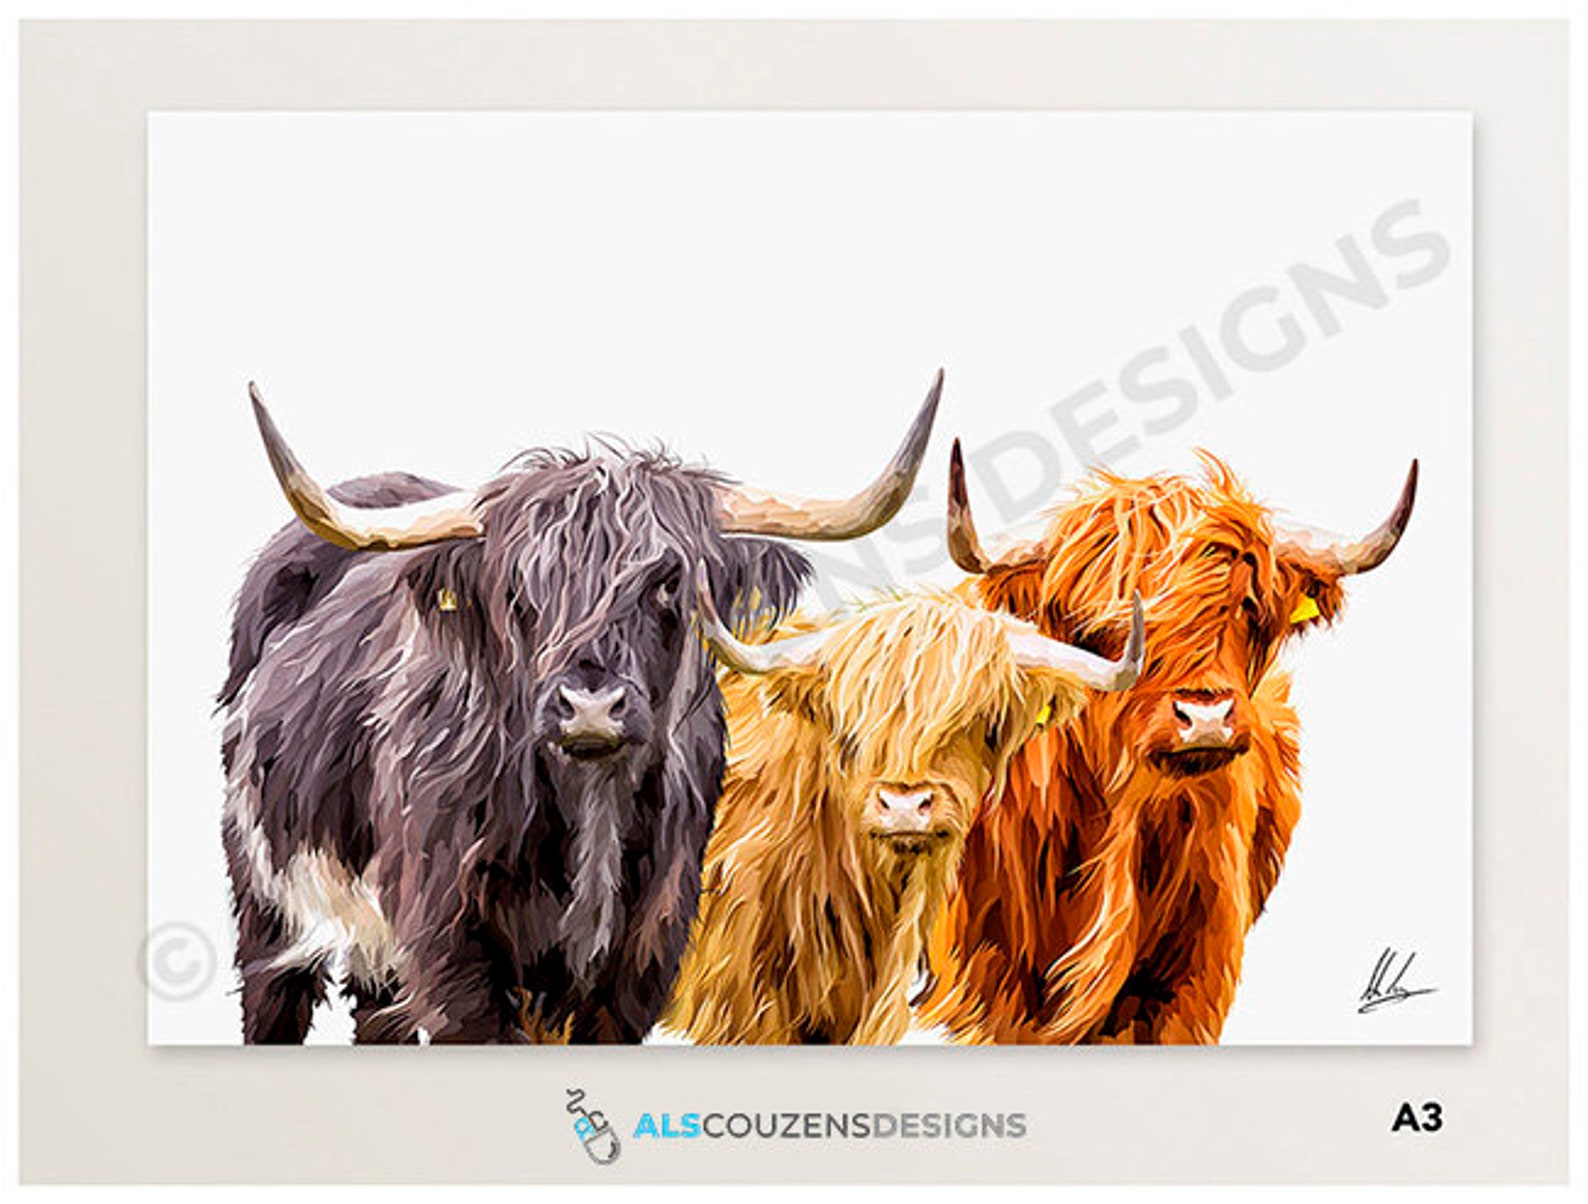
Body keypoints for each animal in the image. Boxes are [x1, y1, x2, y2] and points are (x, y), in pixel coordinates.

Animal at [219, 373, 942, 1044]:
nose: (589, 706)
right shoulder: (451, 950)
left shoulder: (647, 952)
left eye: (668, 582)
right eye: (518, 588)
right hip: (266, 901)